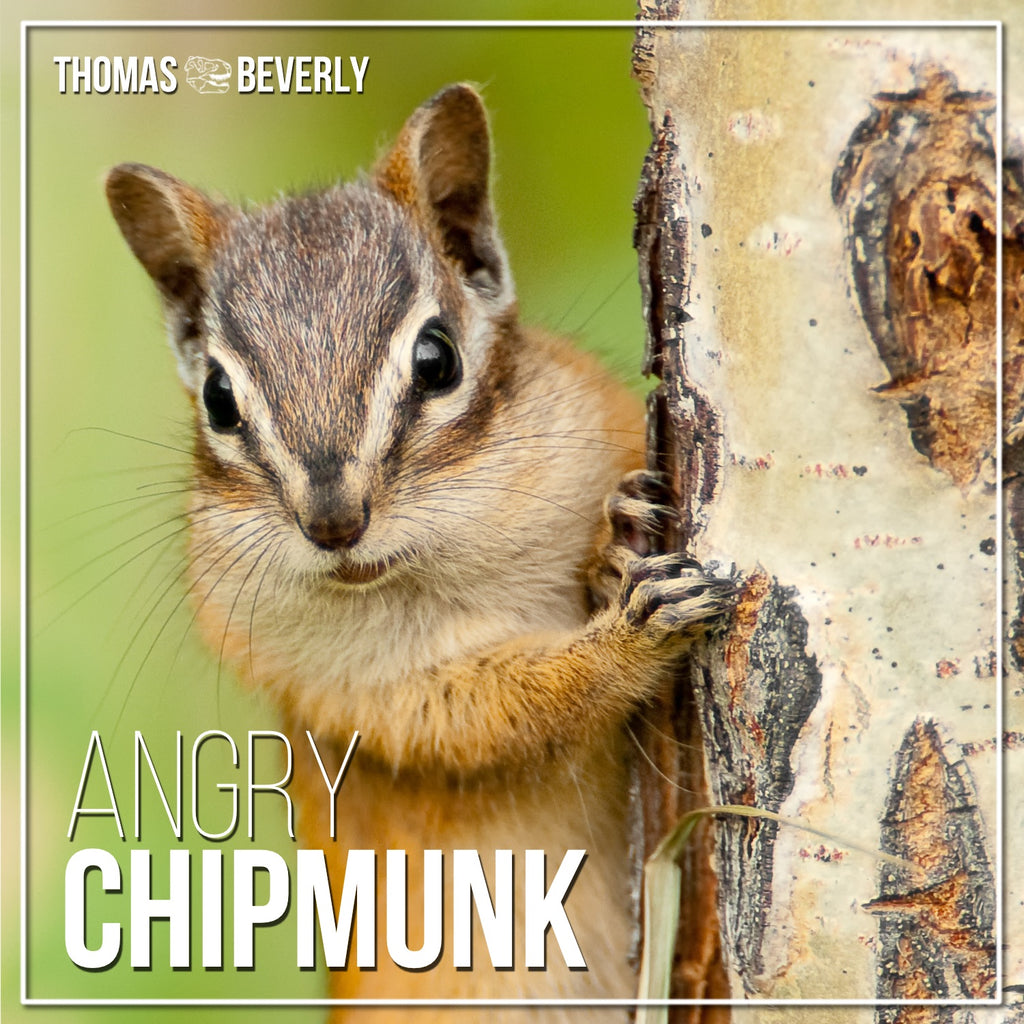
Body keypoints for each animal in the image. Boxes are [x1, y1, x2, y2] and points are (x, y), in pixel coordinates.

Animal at [105, 84, 734, 1020]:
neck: (459, 551)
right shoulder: (356, 689)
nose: (333, 522)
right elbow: (506, 711)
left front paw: (614, 534)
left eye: (436, 358)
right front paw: (631, 631)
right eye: (218, 398)